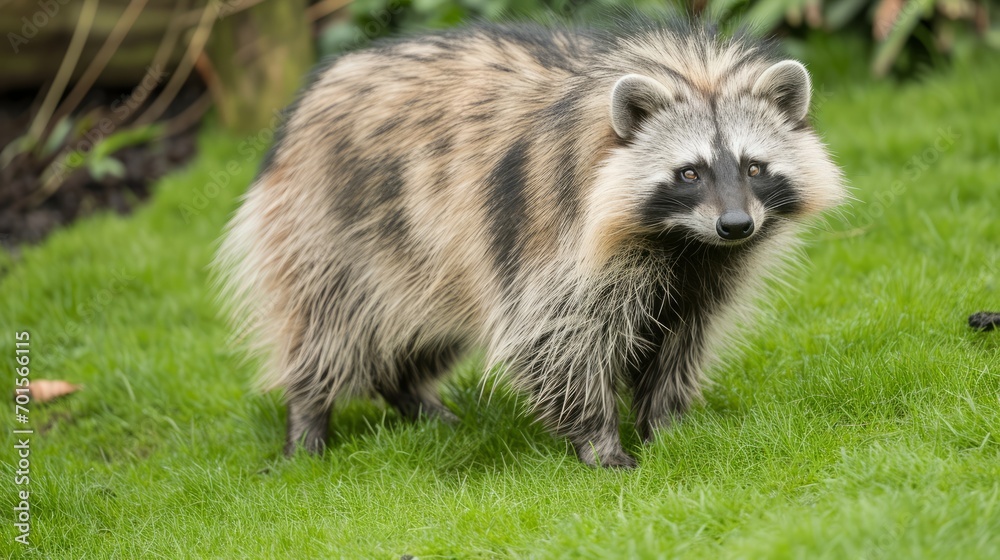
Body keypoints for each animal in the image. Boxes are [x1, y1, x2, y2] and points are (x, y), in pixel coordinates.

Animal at [216, 21, 845, 468]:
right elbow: (557, 338)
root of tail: (314, 94)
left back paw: (411, 396)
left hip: (419, 255)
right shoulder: (554, 237)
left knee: (417, 331)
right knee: (329, 321)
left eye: (753, 166)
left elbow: (682, 339)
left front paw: (666, 424)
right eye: (689, 173)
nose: (736, 225)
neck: (679, 240)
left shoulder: (707, 270)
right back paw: (308, 415)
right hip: (332, 226)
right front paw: (600, 440)